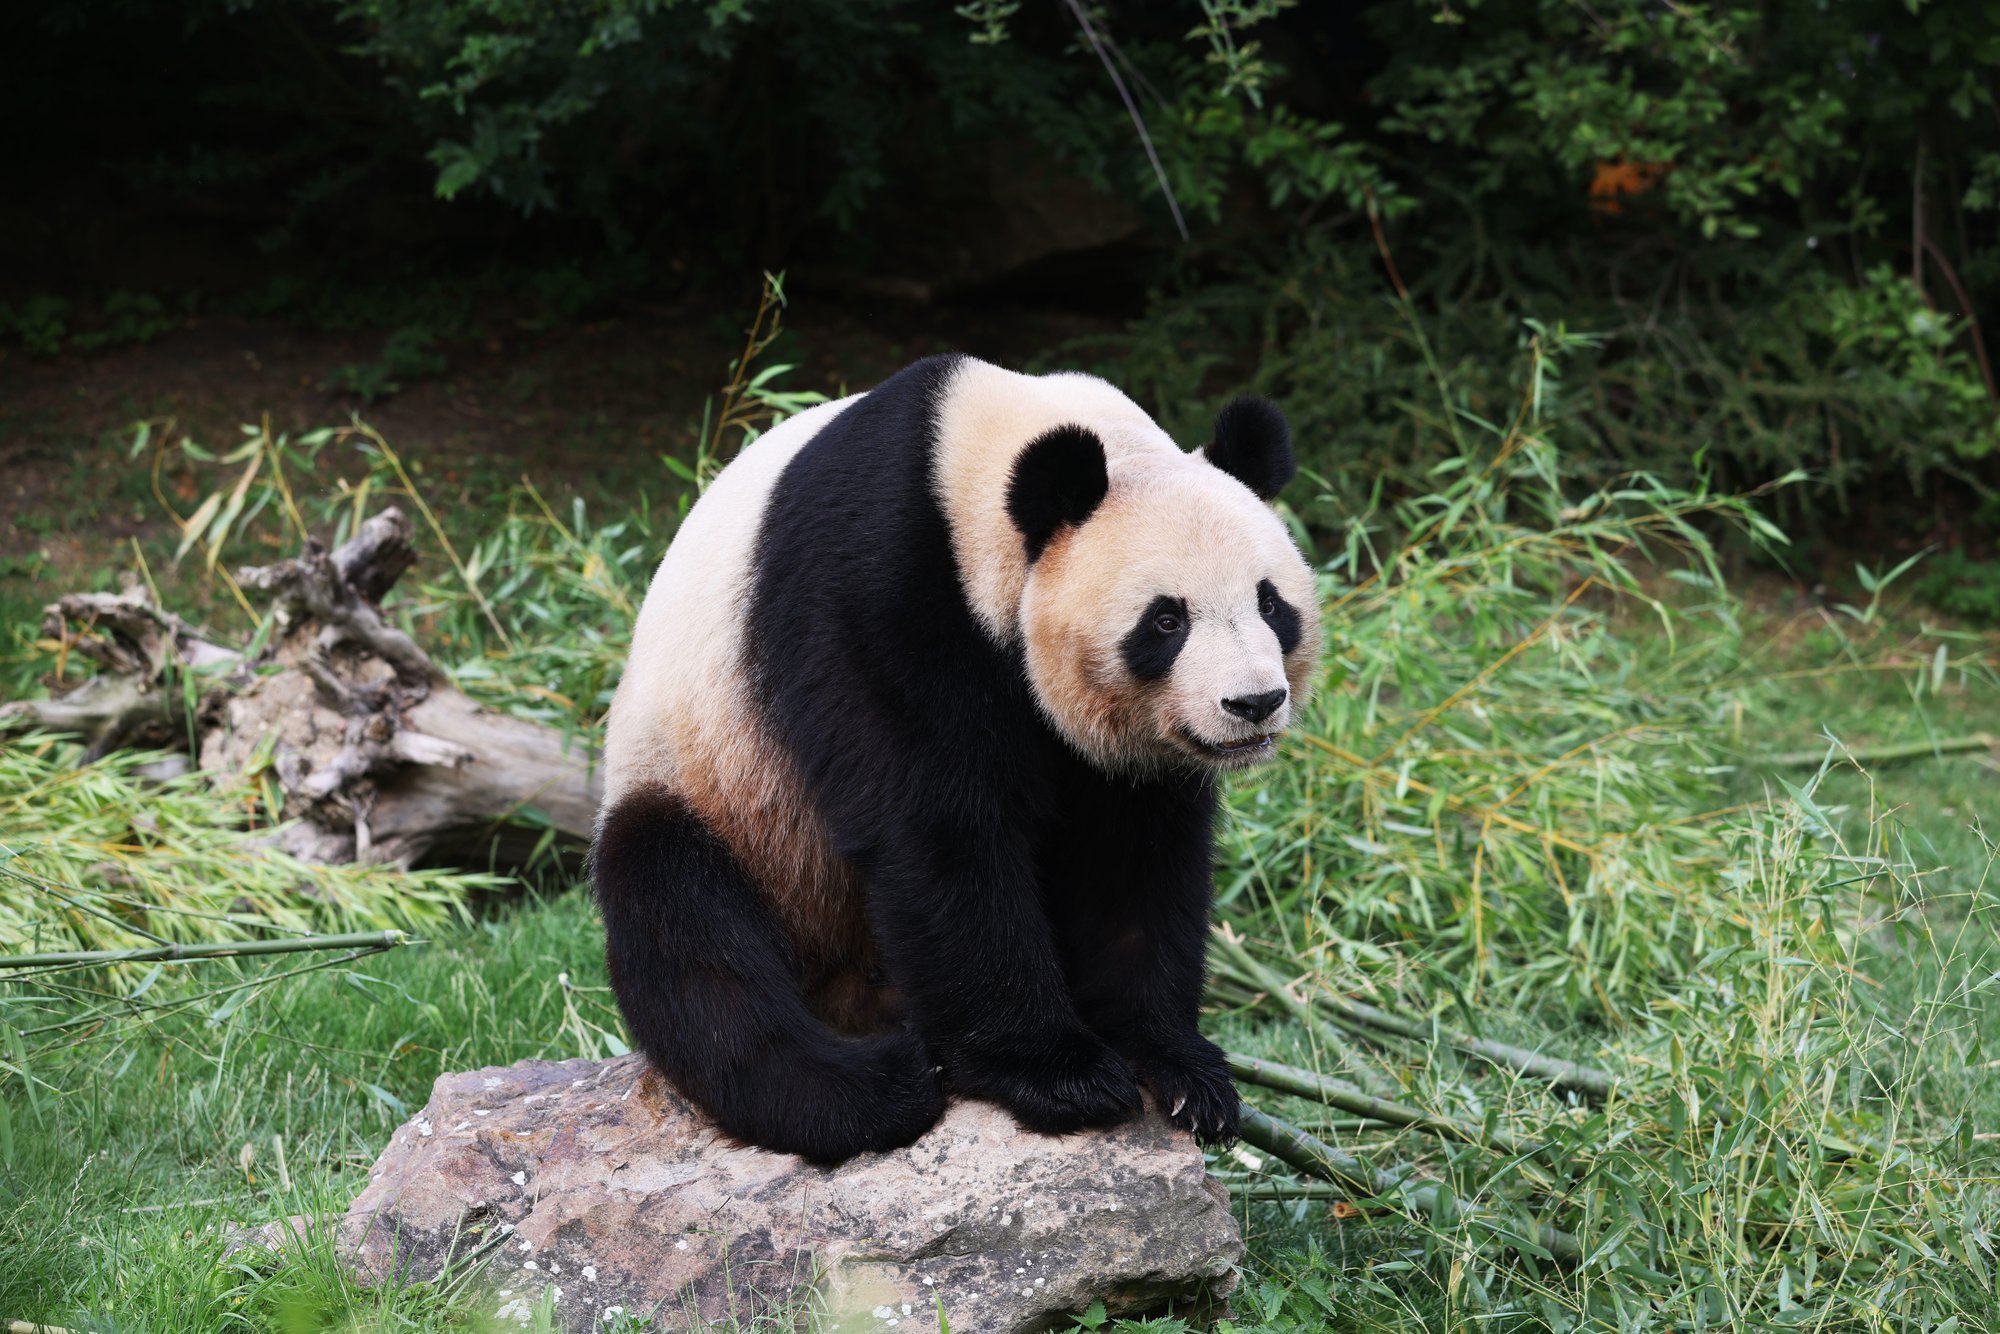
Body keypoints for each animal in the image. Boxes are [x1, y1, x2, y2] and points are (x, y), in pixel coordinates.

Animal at [592, 353, 1320, 1163]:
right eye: (1167, 620)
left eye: (1269, 603)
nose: (1253, 703)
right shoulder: (869, 594)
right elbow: (937, 828)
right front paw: (1059, 1074)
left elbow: (1135, 853)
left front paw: (1182, 1069)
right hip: (712, 786)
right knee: (687, 932)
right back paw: (873, 1090)